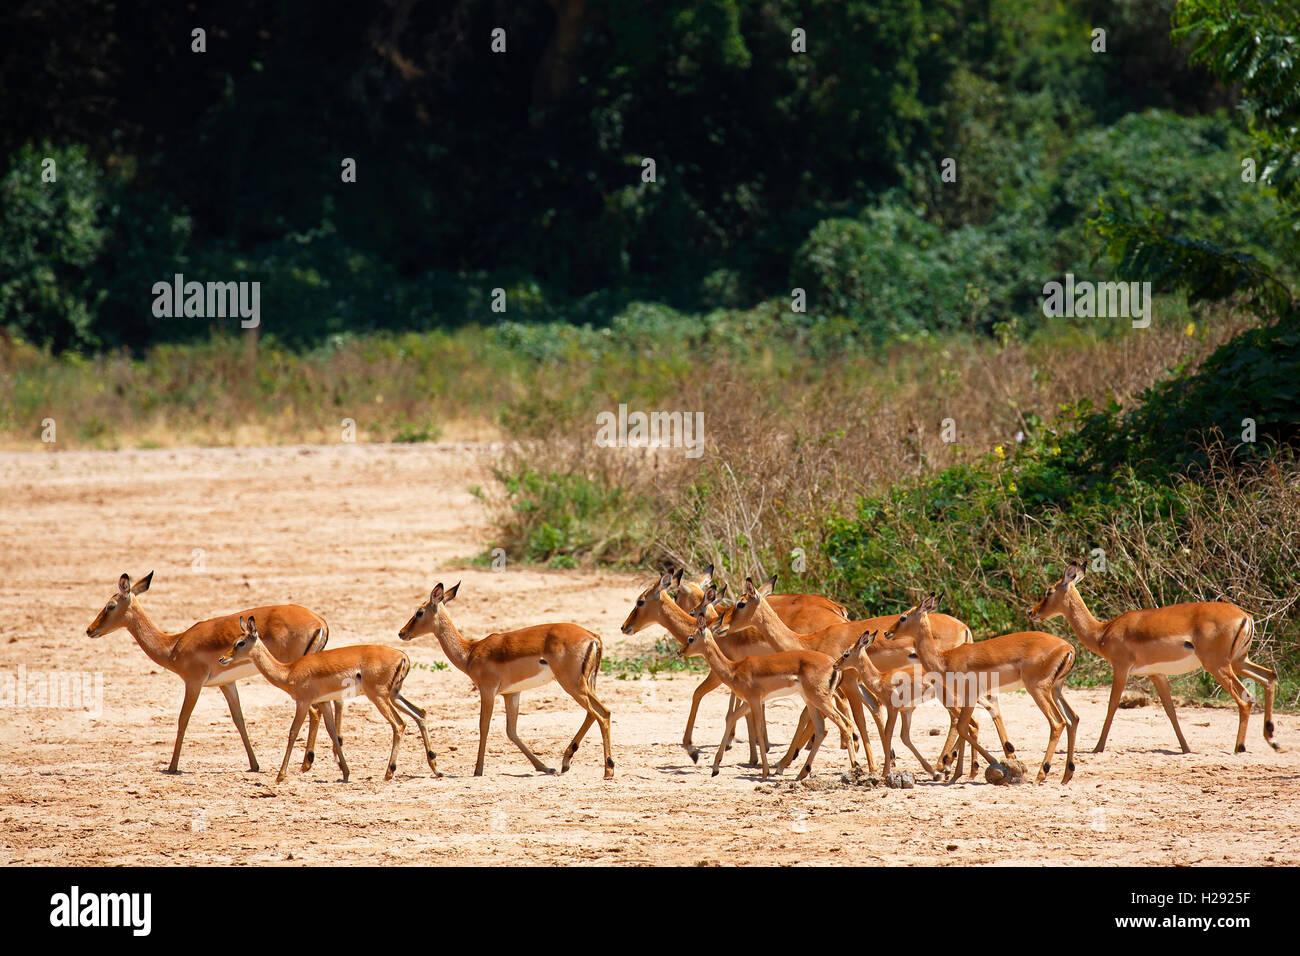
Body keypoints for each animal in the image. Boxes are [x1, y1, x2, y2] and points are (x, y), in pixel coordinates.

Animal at [85, 571, 341, 773]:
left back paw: (308, 763)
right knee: (330, 705)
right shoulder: (226, 684)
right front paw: (254, 765)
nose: (89, 630)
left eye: (110, 605)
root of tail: (319, 620)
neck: (173, 645)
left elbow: (183, 719)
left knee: (316, 711)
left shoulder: (193, 682)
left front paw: (172, 767)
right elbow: (239, 719)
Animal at [219, 617, 438, 783]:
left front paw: (280, 776)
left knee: (399, 724)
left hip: (379, 697)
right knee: (420, 714)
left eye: (240, 643)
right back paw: (435, 768)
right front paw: (346, 773)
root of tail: (402, 656)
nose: (222, 659)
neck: (288, 672)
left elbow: (292, 733)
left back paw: (389, 773)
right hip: (393, 695)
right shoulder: (324, 702)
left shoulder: (303, 702)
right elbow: (333, 733)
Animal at [398, 582, 613, 778]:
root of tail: (593, 637)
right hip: (585, 685)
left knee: (600, 715)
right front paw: (545, 768)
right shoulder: (511, 694)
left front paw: (478, 771)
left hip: (572, 684)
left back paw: (607, 770)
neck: (470, 652)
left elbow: (484, 726)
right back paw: (568, 763)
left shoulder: (487, 690)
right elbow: (512, 731)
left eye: (419, 612)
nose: (401, 632)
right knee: (600, 712)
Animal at [887, 594, 1079, 784]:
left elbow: (963, 727)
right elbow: (965, 728)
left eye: (903, 617)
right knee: (1072, 719)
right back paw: (1065, 776)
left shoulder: (970, 696)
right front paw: (955, 775)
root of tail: (1068, 647)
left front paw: (991, 762)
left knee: (1057, 723)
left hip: (1037, 689)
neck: (945, 659)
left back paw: (1040, 775)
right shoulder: (967, 697)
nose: (887, 633)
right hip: (1055, 690)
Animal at [1028, 562, 1277, 755]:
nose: (1032, 612)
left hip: (1218, 665)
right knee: (1269, 677)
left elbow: (1111, 706)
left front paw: (1097, 747)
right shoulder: (1157, 674)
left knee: (1245, 698)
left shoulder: (1121, 668)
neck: (1103, 631)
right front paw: (1185, 748)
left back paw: (1239, 748)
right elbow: (1170, 710)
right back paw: (1272, 740)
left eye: (1048, 591)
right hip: (1239, 661)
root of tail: (1246, 617)